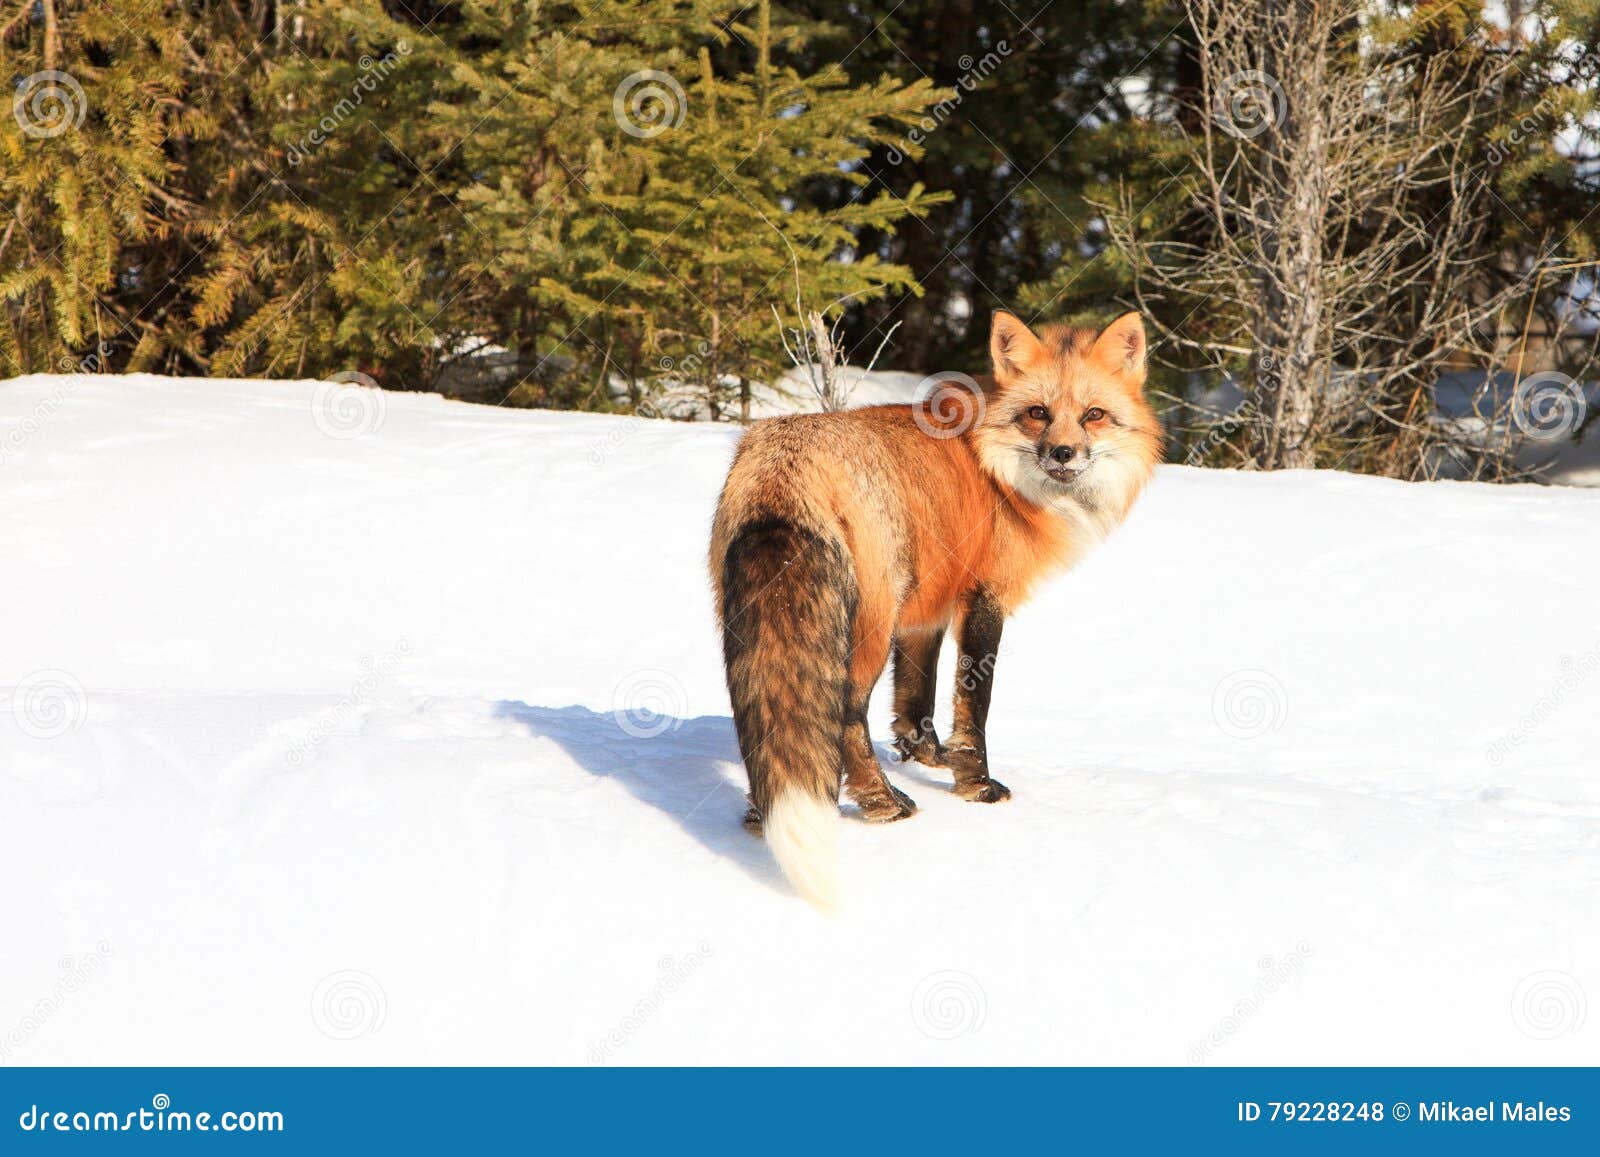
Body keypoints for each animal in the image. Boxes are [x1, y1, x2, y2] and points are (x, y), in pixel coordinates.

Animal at [709, 309, 1163, 910]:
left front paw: (927, 756)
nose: (1063, 454)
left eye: (1094, 415)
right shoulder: (984, 598)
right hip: (868, 627)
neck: (999, 476)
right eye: (1038, 414)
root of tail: (784, 461)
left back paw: (763, 815)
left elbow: (916, 698)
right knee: (845, 714)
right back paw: (883, 804)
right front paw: (975, 784)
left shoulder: (927, 612)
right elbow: (974, 705)